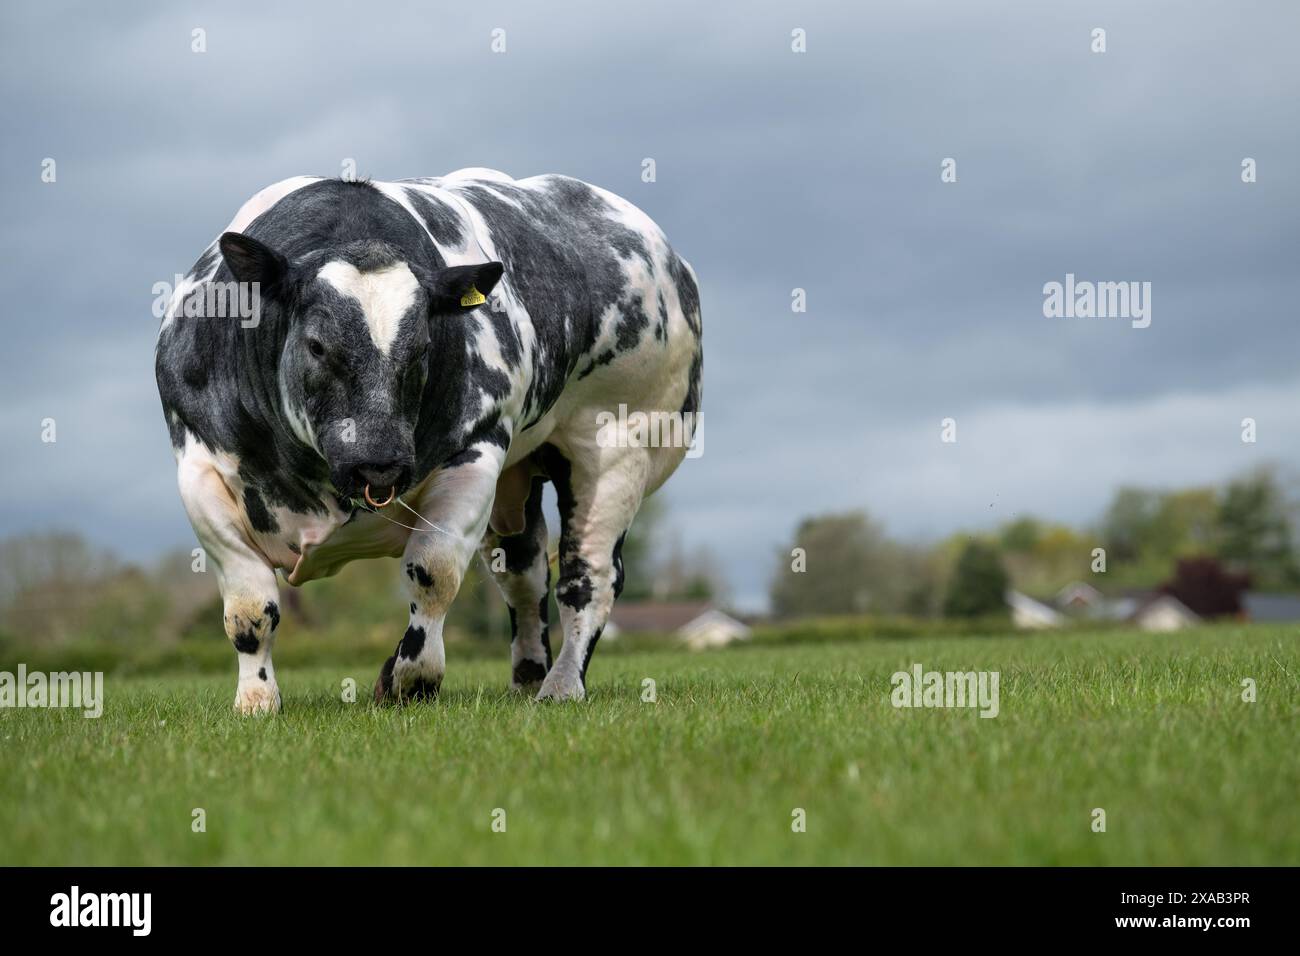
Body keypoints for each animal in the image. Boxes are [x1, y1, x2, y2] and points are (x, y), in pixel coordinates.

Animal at [154, 170, 702, 713]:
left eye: (422, 347)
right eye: (316, 345)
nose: (378, 463)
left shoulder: (476, 450)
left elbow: (434, 573)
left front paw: (408, 680)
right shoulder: (199, 469)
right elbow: (250, 607)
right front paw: (256, 700)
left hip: (616, 449)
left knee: (588, 580)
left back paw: (562, 685)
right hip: (520, 486)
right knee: (524, 578)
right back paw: (528, 677)